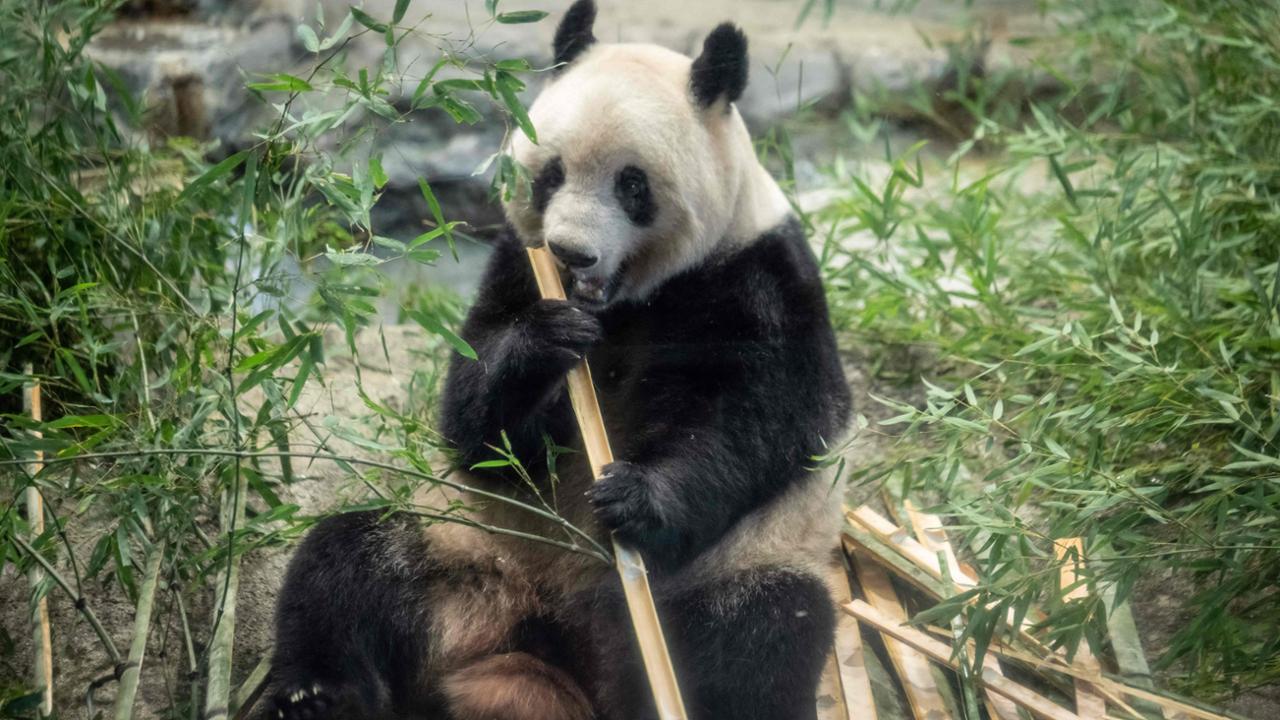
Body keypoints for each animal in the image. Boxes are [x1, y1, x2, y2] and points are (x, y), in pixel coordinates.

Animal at [264, 2, 852, 719]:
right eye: (551, 175)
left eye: (632, 185)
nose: (571, 253)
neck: (623, 303)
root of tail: (553, 646)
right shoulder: (516, 263)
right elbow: (474, 419)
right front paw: (544, 344)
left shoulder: (759, 275)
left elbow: (768, 416)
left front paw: (635, 495)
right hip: (463, 552)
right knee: (348, 564)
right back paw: (316, 694)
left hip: (730, 571)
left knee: (761, 636)